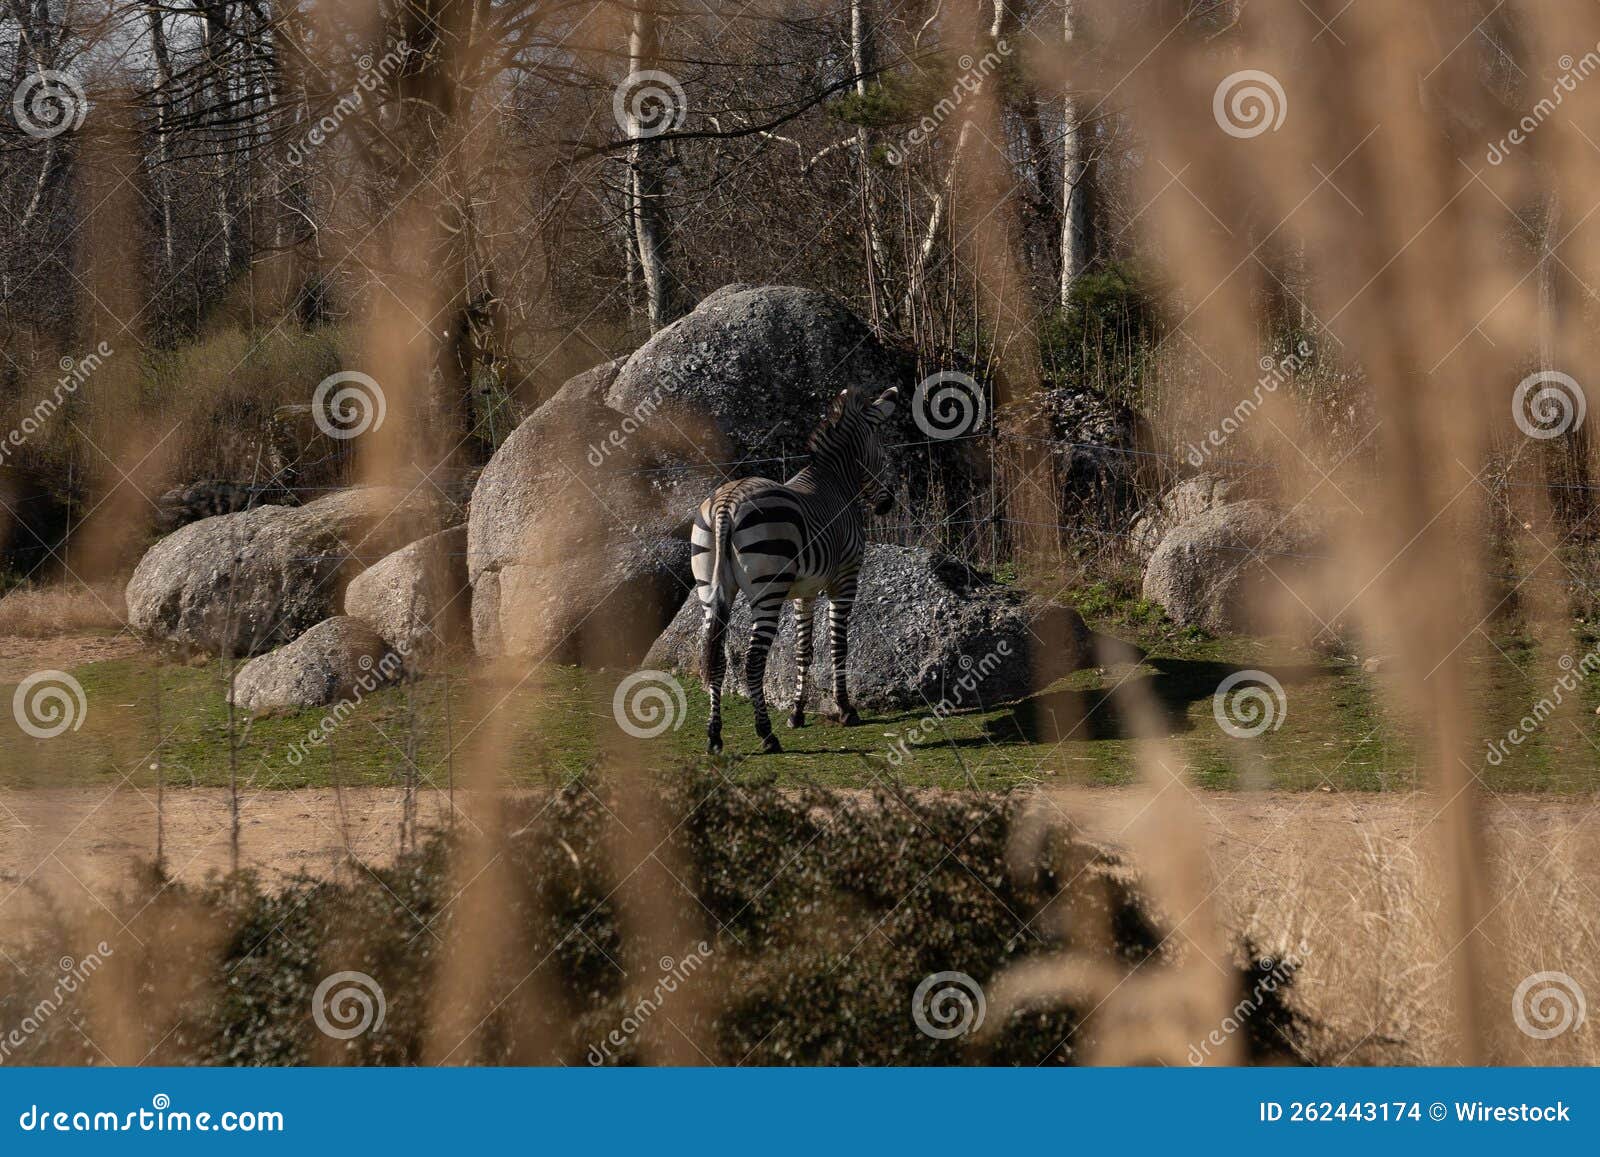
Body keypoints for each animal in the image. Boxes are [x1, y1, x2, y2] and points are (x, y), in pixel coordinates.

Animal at [691, 386, 899, 754]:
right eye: (882, 448)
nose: (886, 504)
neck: (836, 481)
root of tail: (726, 503)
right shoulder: (845, 579)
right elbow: (838, 645)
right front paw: (845, 709)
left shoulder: (805, 592)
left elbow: (804, 650)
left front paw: (797, 712)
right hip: (767, 591)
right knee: (752, 660)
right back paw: (766, 734)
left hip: (710, 588)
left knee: (714, 657)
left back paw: (714, 736)